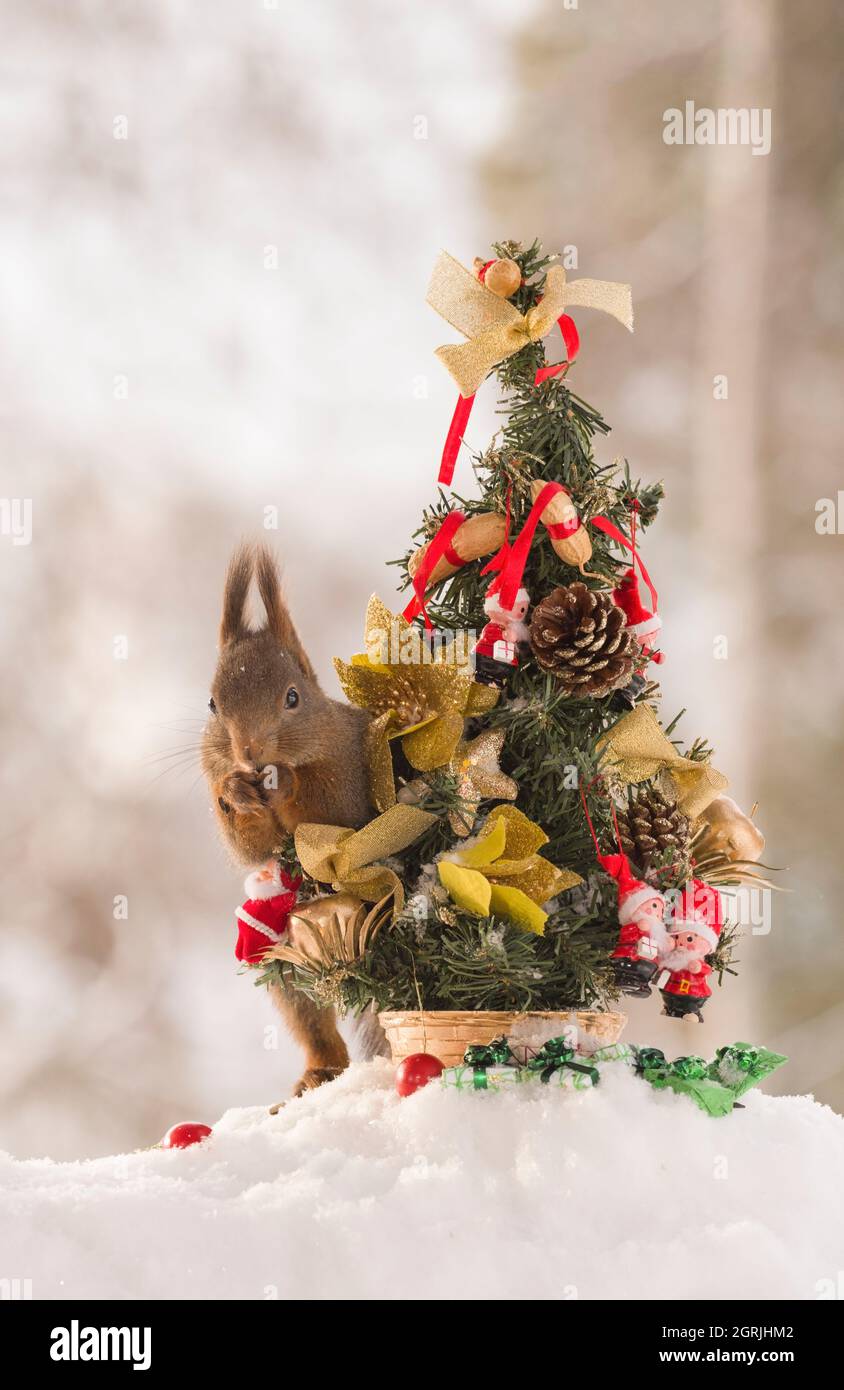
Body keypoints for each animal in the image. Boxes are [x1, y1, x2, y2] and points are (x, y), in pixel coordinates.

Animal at [201, 543, 374, 1099]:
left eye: (293, 698)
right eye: (212, 704)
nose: (250, 754)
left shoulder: (351, 772)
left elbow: (338, 817)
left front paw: (287, 781)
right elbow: (252, 850)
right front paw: (235, 793)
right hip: (283, 964)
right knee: (312, 1021)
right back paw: (320, 1072)